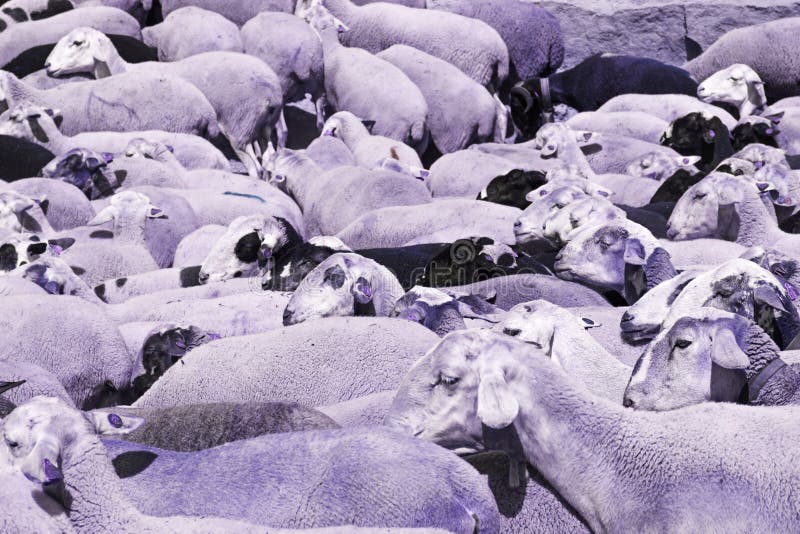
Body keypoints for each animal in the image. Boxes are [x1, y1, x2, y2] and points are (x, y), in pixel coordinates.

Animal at [45, 28, 283, 176]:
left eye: (77, 43)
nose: (47, 65)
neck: (121, 69)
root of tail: (274, 91)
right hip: (263, 129)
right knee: (269, 161)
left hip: (240, 125)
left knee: (255, 168)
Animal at [304, 5, 428, 149]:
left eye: (308, 19)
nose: (317, 5)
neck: (333, 49)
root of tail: (418, 122)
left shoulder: (332, 99)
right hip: (420, 145)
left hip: (390, 132)